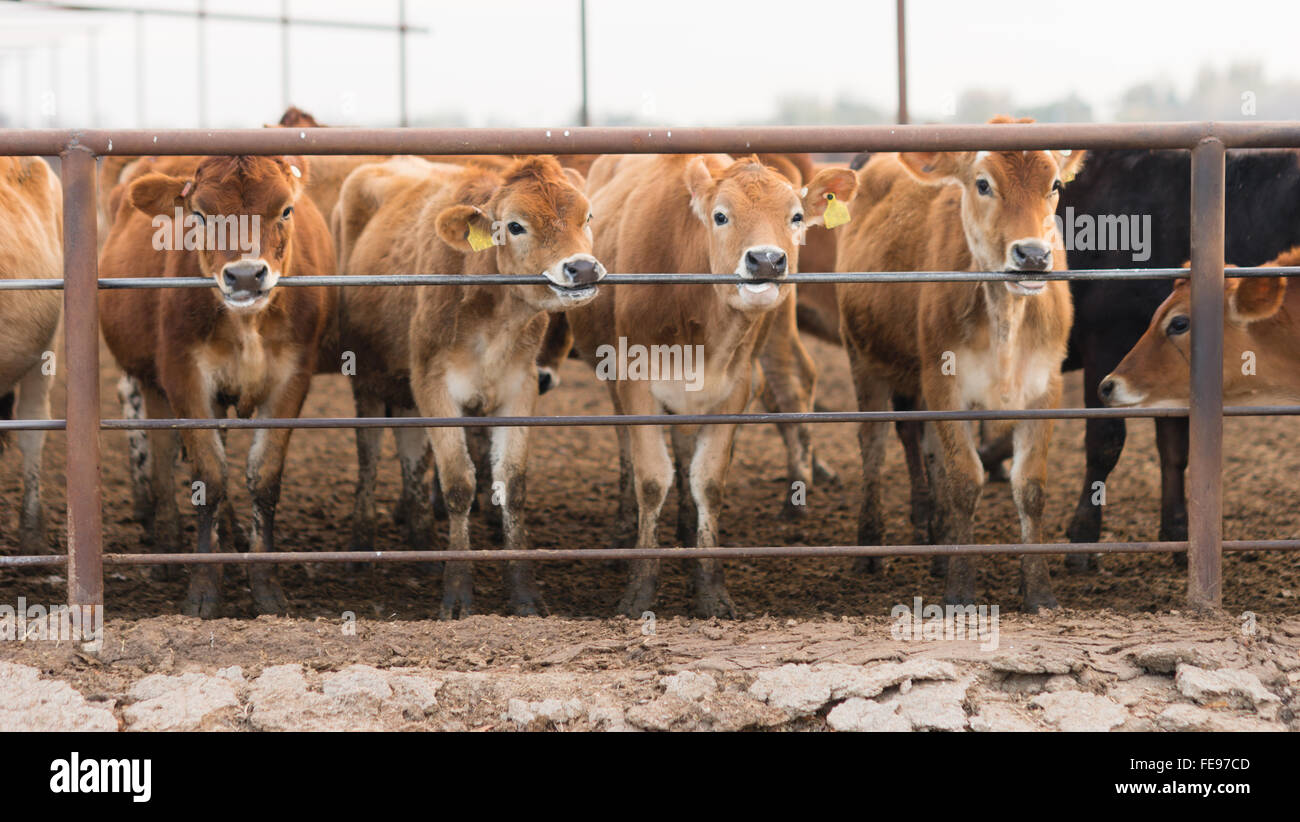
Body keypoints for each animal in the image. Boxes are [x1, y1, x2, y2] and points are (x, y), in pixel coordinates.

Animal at [100, 155, 337, 617]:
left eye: (285, 210)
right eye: (199, 215)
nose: (245, 276)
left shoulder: (292, 379)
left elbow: (263, 477)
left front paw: (266, 586)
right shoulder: (184, 377)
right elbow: (209, 478)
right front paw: (204, 588)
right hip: (150, 381)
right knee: (160, 455)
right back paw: (168, 544)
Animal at [334, 155, 605, 619]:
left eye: (586, 217)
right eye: (515, 225)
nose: (582, 268)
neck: (495, 317)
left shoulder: (519, 388)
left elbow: (511, 484)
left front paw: (523, 591)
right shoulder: (434, 387)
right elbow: (459, 483)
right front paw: (457, 590)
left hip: (405, 387)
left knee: (410, 453)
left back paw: (422, 544)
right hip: (367, 375)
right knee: (368, 455)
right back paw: (360, 546)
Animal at [566, 153, 857, 617]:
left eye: (796, 216)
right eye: (721, 216)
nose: (766, 261)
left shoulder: (733, 390)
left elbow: (707, 481)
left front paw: (709, 585)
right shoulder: (635, 384)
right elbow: (651, 479)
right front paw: (639, 587)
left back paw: (686, 529)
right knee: (627, 449)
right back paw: (623, 532)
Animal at [835, 117, 1084, 610]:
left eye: (1055, 185)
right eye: (983, 184)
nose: (1032, 255)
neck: (1006, 315)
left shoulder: (1045, 388)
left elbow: (1030, 488)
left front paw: (1038, 589)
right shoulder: (945, 384)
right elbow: (965, 480)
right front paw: (961, 587)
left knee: (929, 452)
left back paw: (938, 546)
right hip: (863, 358)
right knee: (873, 446)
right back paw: (870, 546)